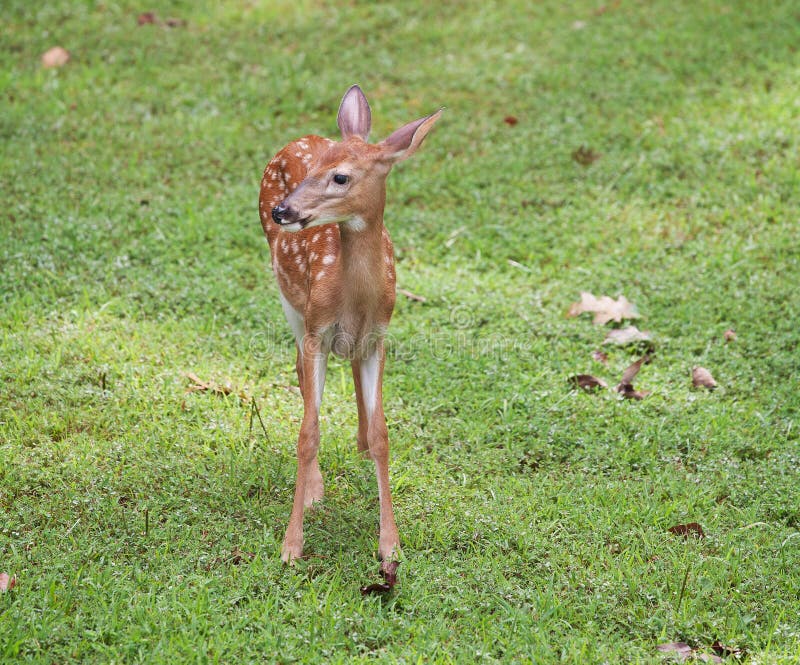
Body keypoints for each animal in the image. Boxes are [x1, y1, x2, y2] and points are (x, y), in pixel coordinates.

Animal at [258, 85, 442, 565]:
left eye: (340, 177)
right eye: (313, 171)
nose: (283, 210)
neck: (354, 298)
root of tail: (301, 137)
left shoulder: (379, 336)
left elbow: (382, 433)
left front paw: (390, 544)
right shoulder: (317, 329)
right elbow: (308, 431)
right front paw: (292, 544)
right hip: (288, 296)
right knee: (300, 375)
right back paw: (315, 488)